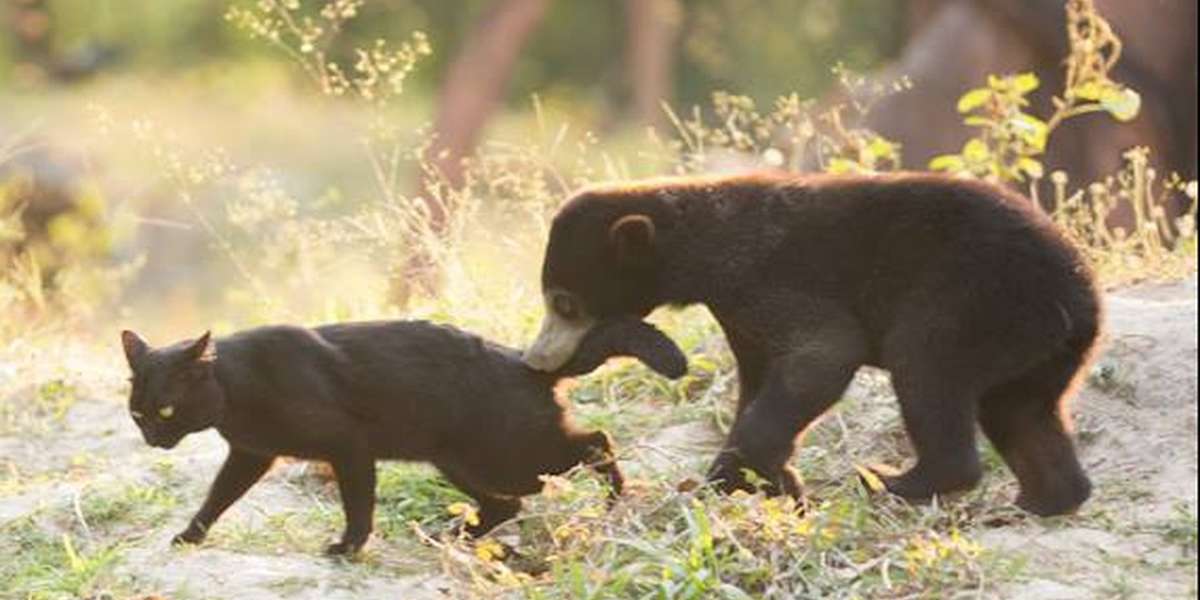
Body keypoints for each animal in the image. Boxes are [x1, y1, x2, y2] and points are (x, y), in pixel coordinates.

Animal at [523, 171, 1101, 517]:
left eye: (564, 302)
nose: (536, 359)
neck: (703, 245)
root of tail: (1079, 297)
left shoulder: (769, 278)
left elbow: (823, 354)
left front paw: (728, 478)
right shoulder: (740, 314)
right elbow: (758, 379)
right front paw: (771, 480)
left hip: (976, 298)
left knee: (925, 363)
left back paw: (894, 481)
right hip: (1032, 345)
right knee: (1022, 412)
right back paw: (1040, 500)